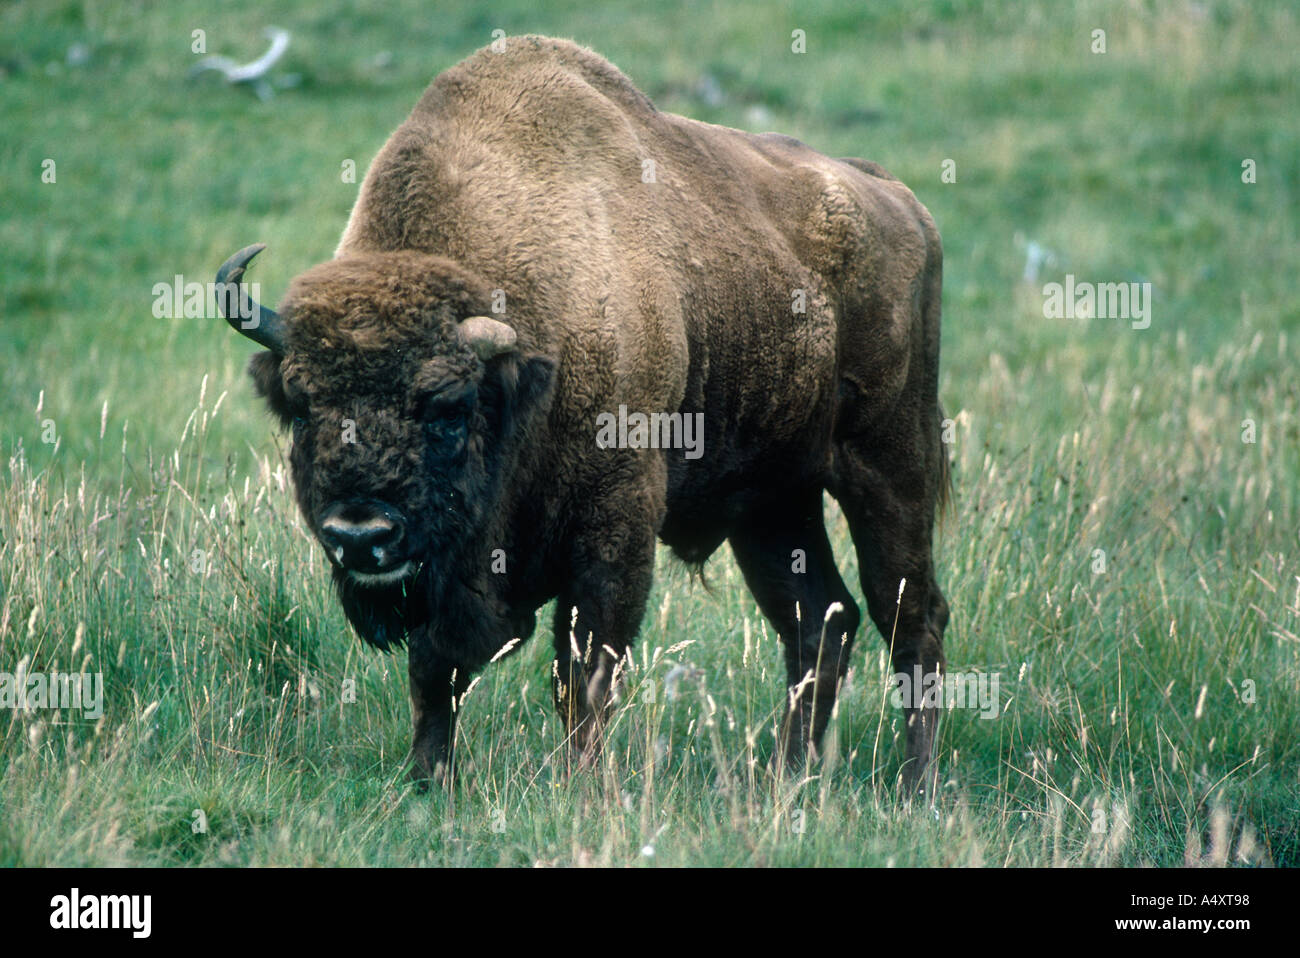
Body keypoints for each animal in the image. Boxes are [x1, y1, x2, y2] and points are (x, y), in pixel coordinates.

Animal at [214, 36, 951, 792]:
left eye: (446, 406)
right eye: (303, 408)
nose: (361, 535)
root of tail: (896, 199)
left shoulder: (614, 523)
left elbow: (584, 670)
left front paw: (578, 787)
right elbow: (435, 671)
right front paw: (426, 781)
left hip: (890, 464)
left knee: (911, 615)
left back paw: (916, 785)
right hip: (773, 502)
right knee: (820, 622)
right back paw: (785, 775)